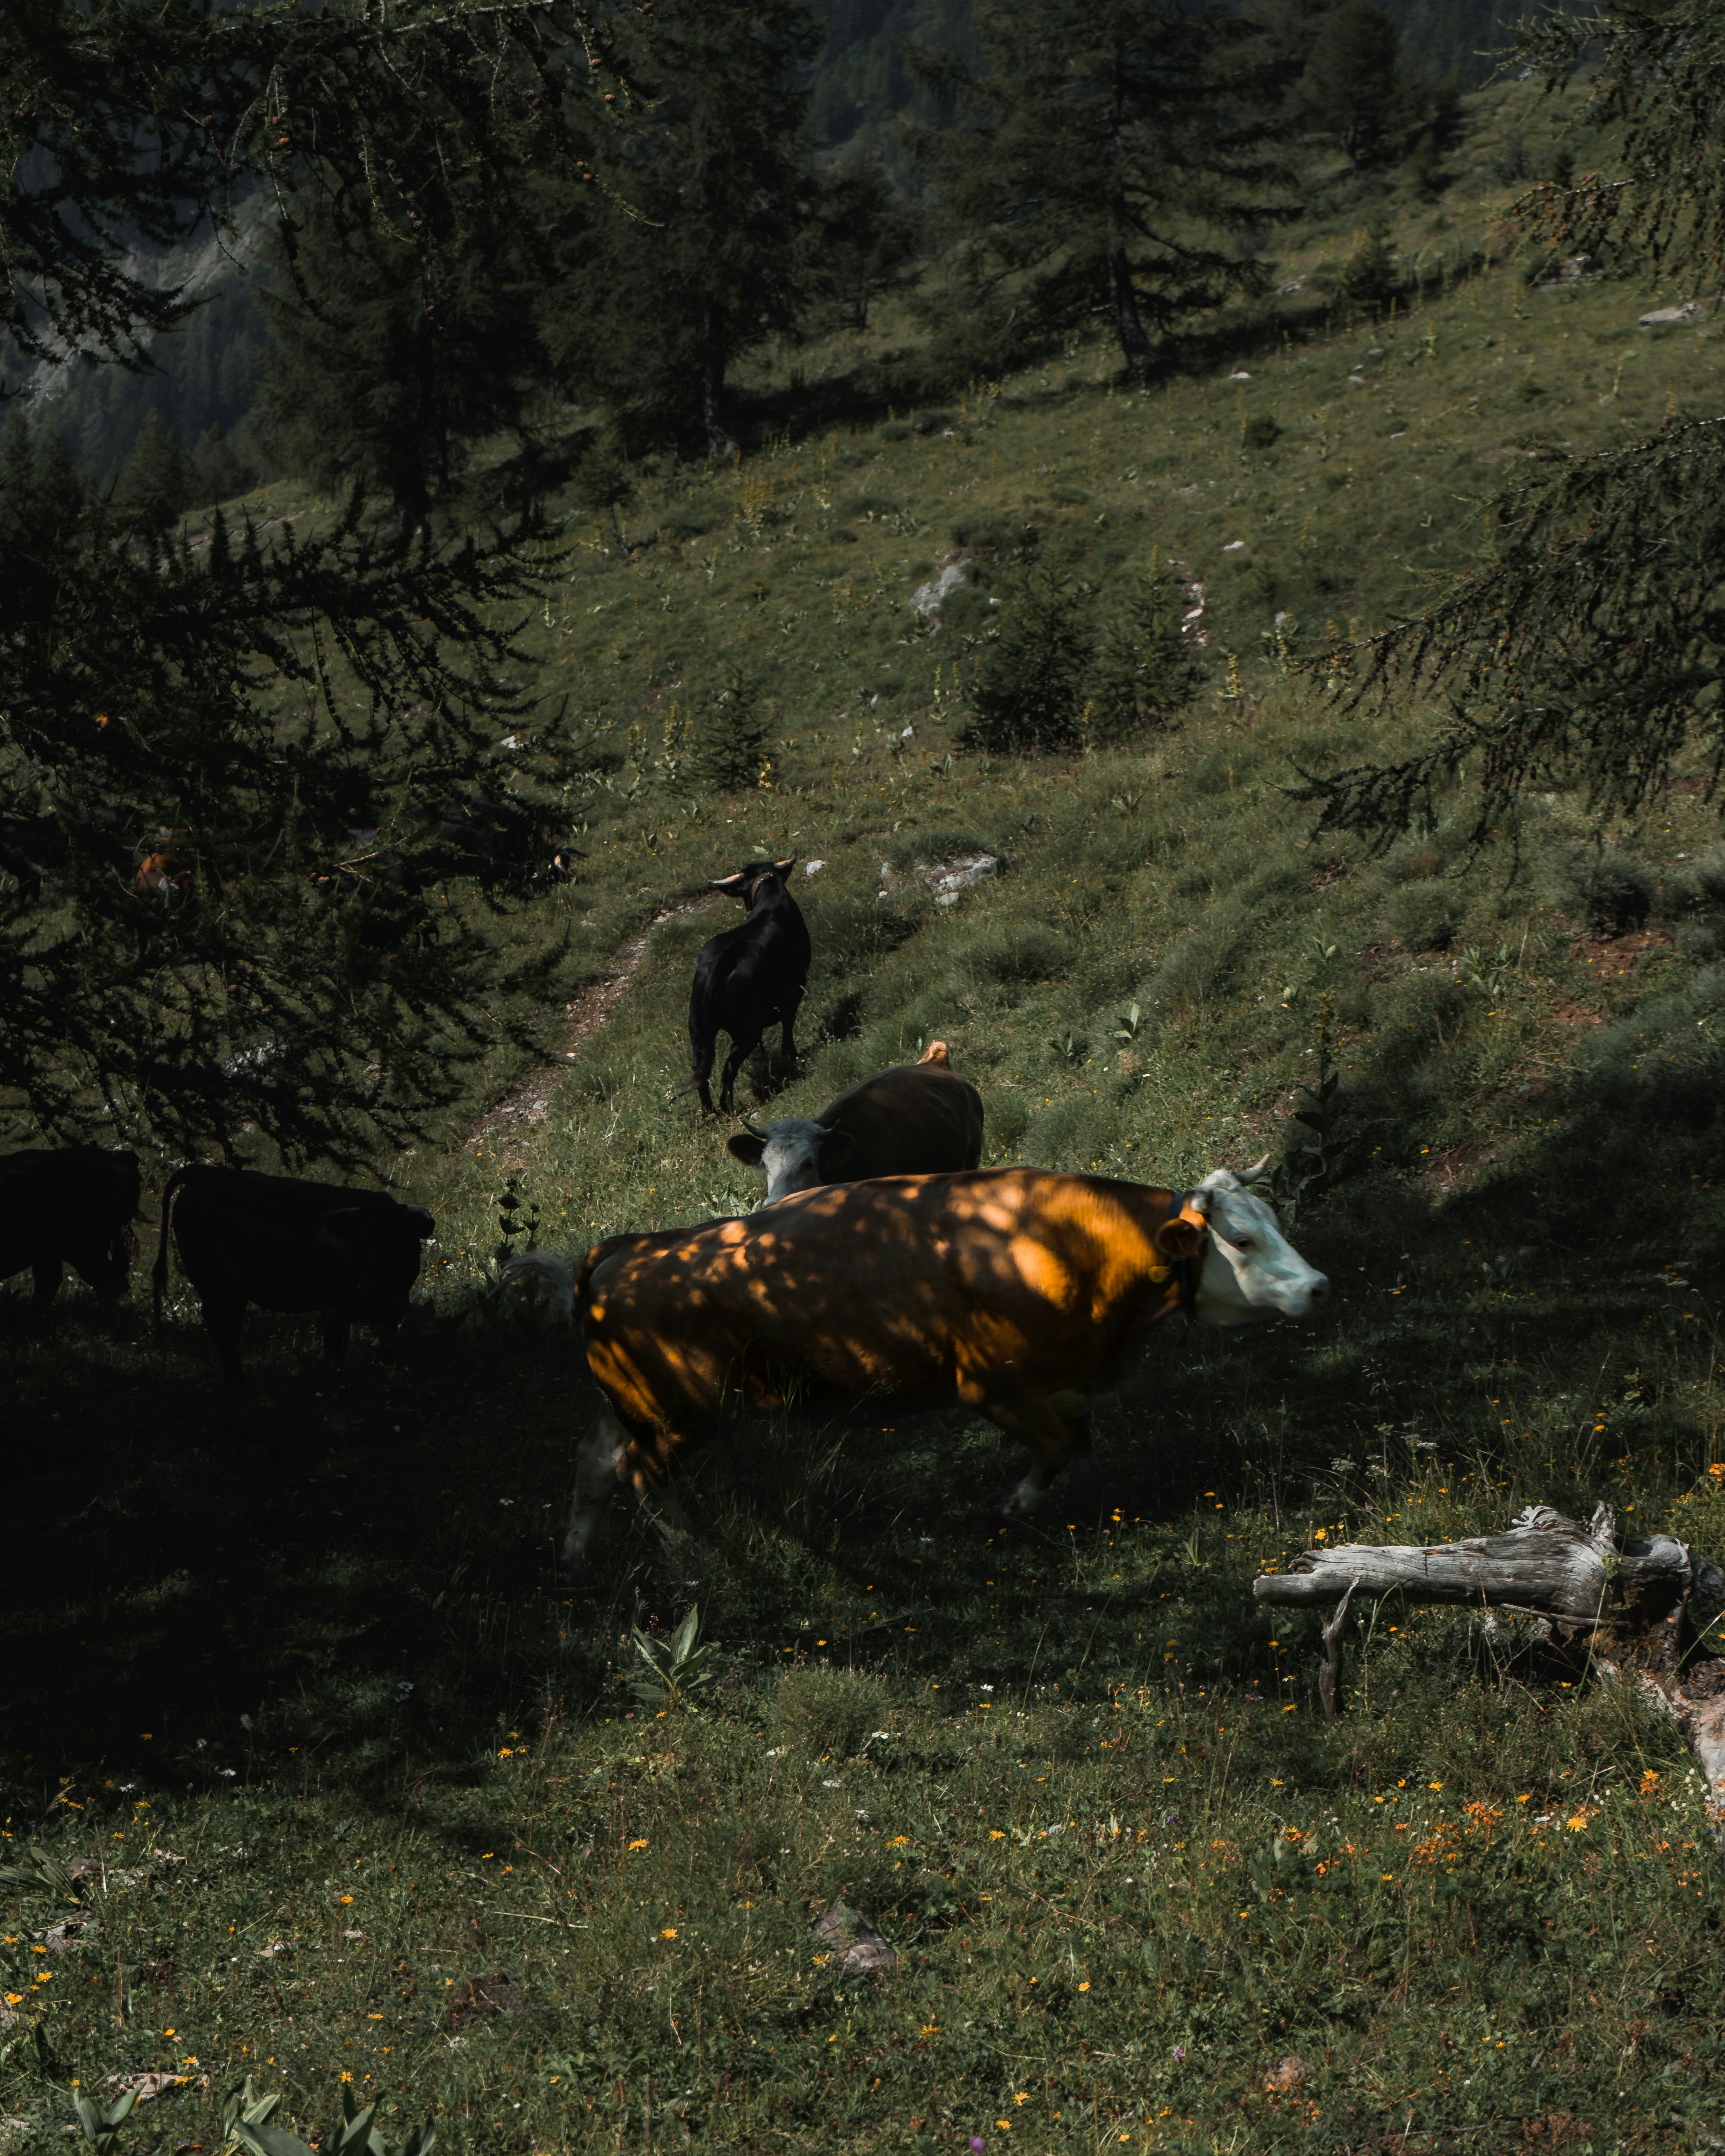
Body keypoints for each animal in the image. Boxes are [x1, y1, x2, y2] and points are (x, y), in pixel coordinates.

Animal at [153, 1166, 435, 1382]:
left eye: (398, 1243)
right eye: (360, 1244)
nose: (368, 1286)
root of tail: (205, 1172)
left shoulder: (393, 1310)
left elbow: (390, 1355)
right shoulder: (334, 1309)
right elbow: (337, 1357)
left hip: (235, 1291)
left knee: (229, 1326)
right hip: (215, 1283)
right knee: (219, 1324)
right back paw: (239, 1383)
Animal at [512, 1159, 1327, 1583]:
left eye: (1275, 1222)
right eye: (1243, 1240)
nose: (1318, 1285)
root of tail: (629, 1248)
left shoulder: (1061, 1377)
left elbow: (1081, 1444)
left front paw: (1095, 1502)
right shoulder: (990, 1380)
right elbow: (1054, 1446)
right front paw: (1013, 1507)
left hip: (632, 1407)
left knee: (596, 1460)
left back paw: (578, 1555)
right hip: (681, 1414)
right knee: (643, 1478)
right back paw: (695, 1558)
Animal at [688, 859, 811, 1115]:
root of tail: (725, 958)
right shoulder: (795, 989)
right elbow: (789, 1024)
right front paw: (792, 1055)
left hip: (699, 1030)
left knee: (700, 1068)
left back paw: (709, 1112)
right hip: (747, 1031)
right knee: (729, 1068)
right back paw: (726, 1107)